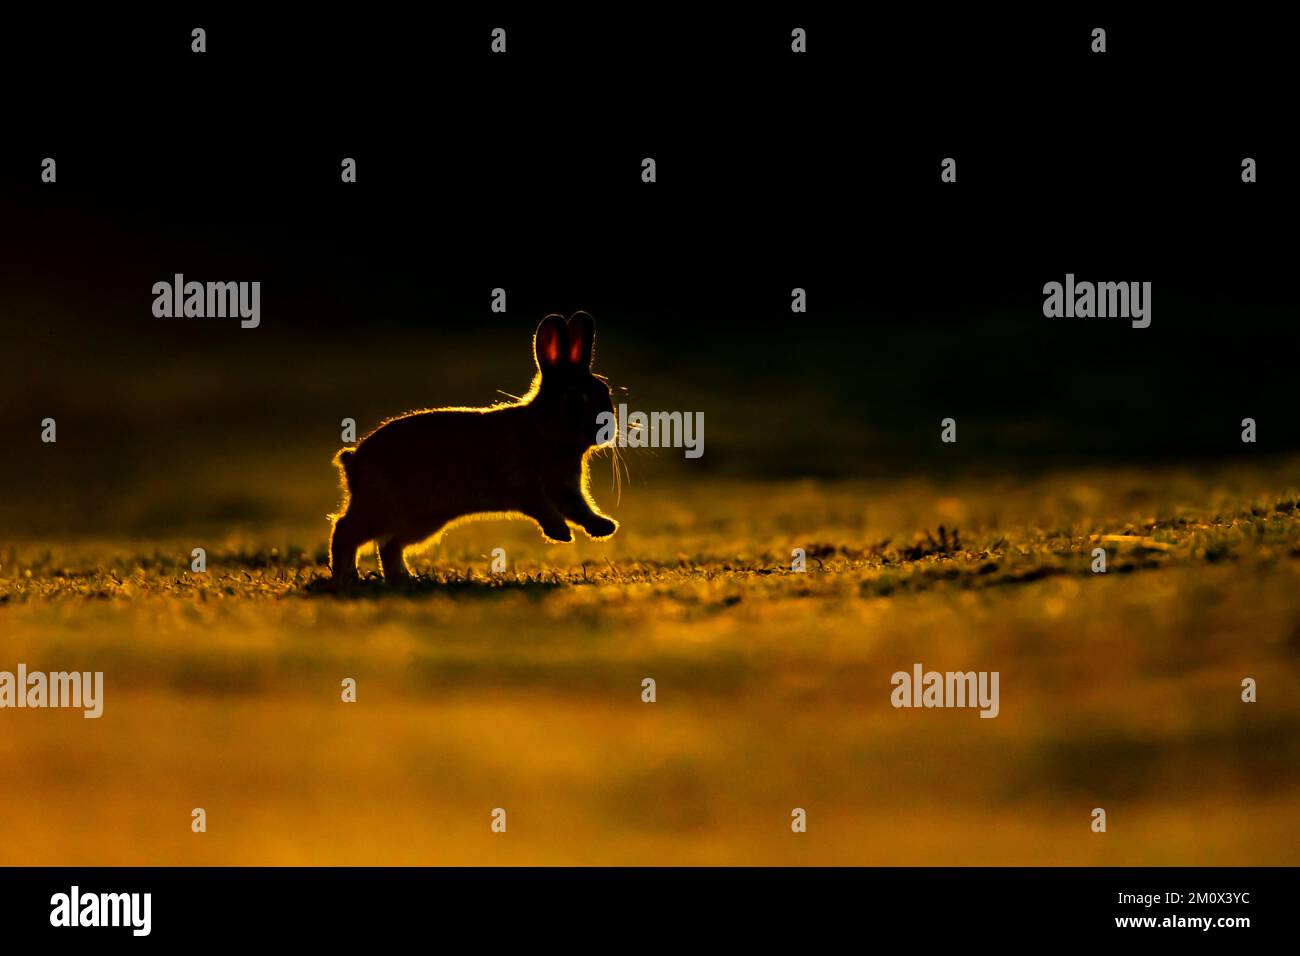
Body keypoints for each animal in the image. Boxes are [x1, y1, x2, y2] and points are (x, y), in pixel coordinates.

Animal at [329, 311, 619, 584]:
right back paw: (347, 577)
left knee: (389, 544)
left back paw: (402, 578)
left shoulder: (566, 489)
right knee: (345, 530)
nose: (608, 430)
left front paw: (604, 528)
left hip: (423, 519)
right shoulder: (525, 486)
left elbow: (581, 510)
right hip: (383, 505)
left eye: (605, 391)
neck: (543, 430)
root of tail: (352, 461)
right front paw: (561, 533)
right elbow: (544, 508)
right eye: (574, 398)